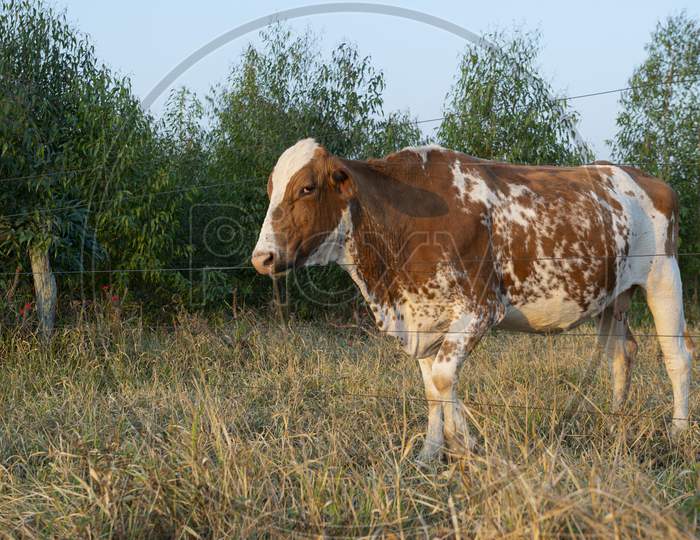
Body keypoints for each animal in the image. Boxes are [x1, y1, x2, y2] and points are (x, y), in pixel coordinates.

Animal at [251, 138, 693, 462]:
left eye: (306, 188)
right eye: (270, 190)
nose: (262, 257)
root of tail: (641, 176)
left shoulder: (479, 309)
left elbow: (445, 378)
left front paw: (466, 443)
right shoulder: (423, 318)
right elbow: (432, 386)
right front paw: (431, 453)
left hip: (663, 277)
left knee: (677, 357)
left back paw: (678, 431)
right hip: (615, 295)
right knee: (622, 353)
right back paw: (616, 421)